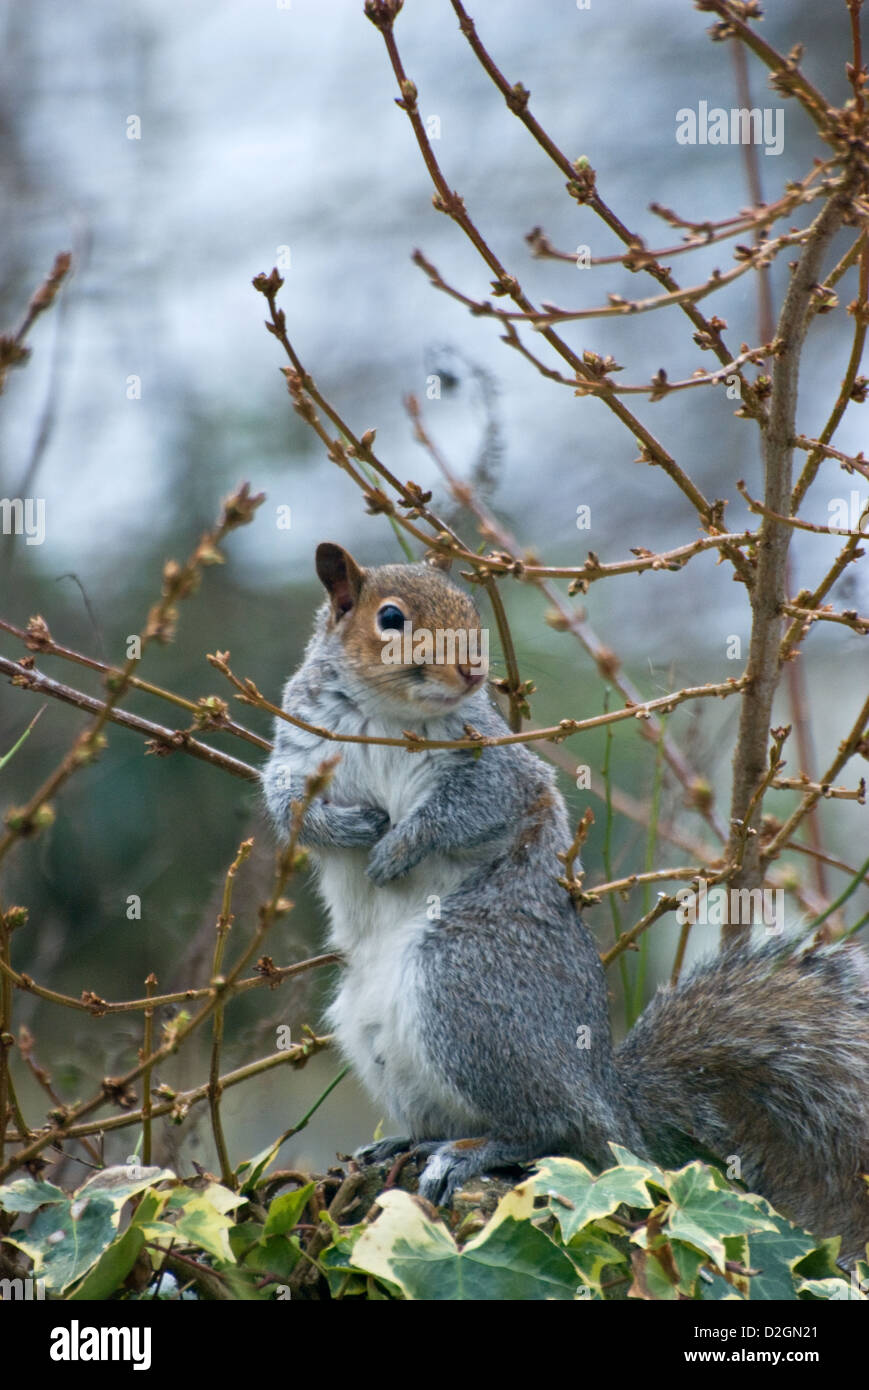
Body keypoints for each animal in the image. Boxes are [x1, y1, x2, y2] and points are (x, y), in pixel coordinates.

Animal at [263, 542, 869, 1266]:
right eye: (390, 618)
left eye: (470, 610)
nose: (471, 671)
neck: (389, 718)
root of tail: (607, 1096)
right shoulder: (299, 750)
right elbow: (288, 808)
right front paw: (350, 831)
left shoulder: (493, 767)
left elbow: (472, 811)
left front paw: (397, 848)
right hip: (380, 1031)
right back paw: (406, 1143)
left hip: (464, 985)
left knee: (555, 1133)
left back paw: (471, 1153)